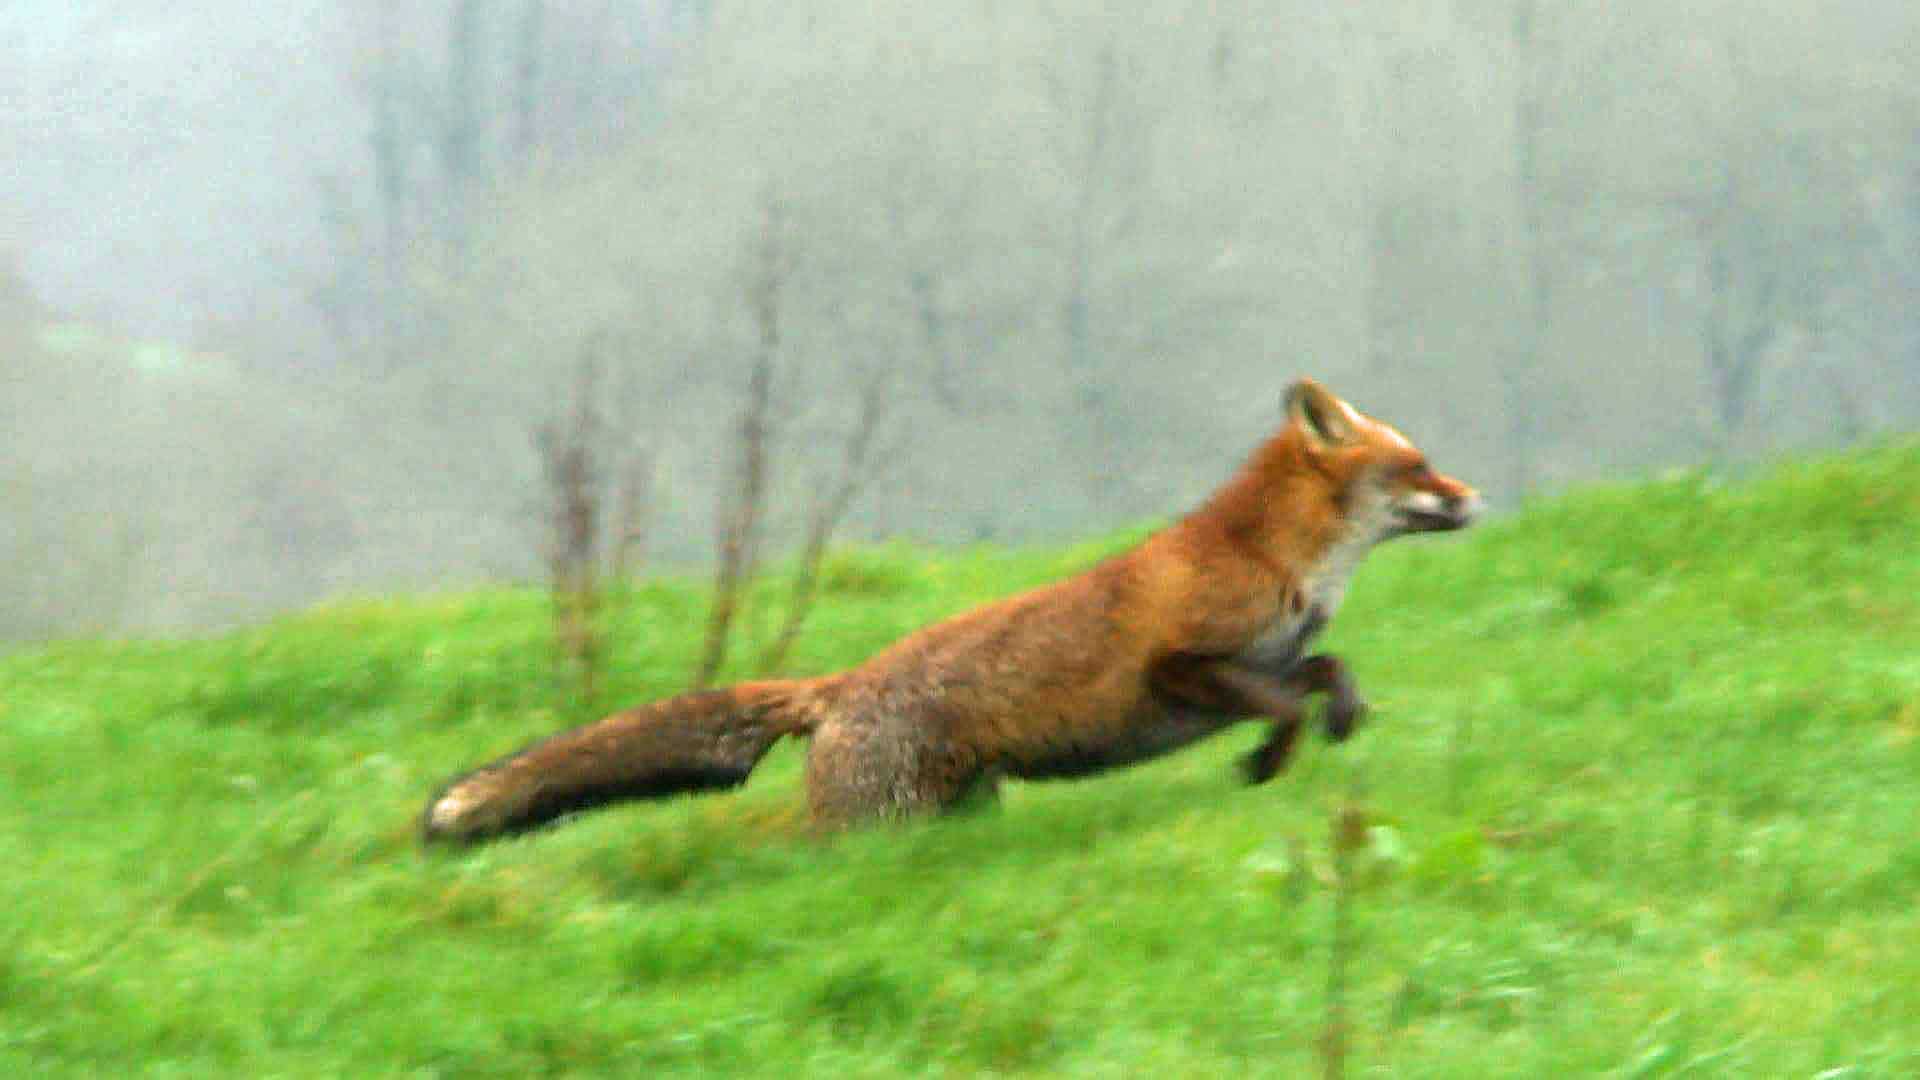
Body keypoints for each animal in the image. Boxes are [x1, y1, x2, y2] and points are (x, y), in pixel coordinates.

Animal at [422, 378, 1481, 843]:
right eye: (1420, 466)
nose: (1472, 497)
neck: (1278, 562)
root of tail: (839, 685)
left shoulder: (1267, 655)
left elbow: (1324, 675)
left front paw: (1343, 717)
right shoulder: (1180, 666)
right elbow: (1284, 707)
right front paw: (1267, 762)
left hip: (963, 807)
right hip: (880, 824)